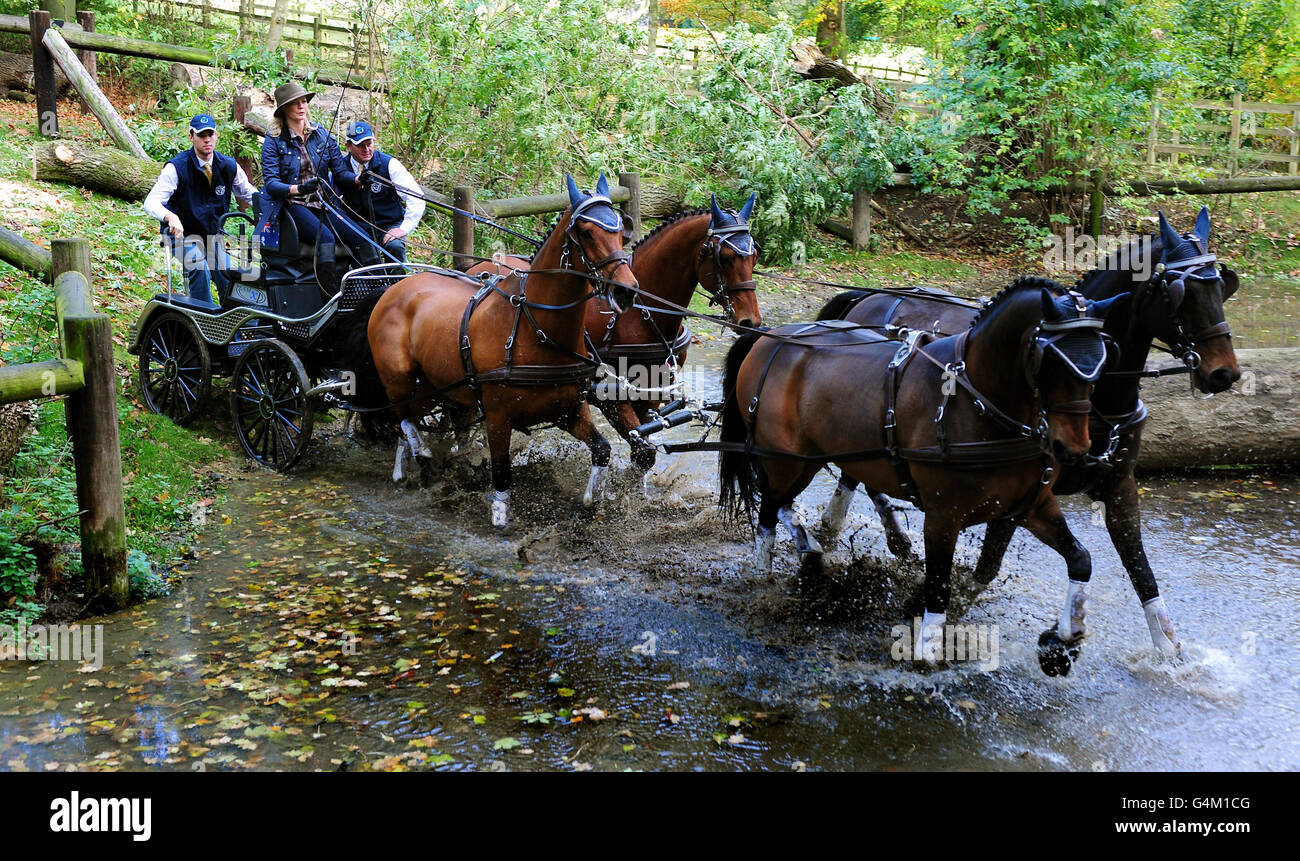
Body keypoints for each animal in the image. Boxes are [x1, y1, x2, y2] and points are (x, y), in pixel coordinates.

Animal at [346, 174, 638, 527]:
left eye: (620, 231)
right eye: (586, 232)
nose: (626, 290)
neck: (535, 329)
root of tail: (392, 288)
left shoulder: (569, 409)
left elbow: (602, 449)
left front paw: (589, 503)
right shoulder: (498, 417)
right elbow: (501, 473)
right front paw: (500, 518)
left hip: (432, 386)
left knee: (409, 419)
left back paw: (406, 469)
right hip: (398, 378)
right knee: (402, 418)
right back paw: (423, 457)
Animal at [471, 195, 762, 472]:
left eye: (754, 255)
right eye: (725, 257)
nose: (751, 320)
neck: (639, 315)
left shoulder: (651, 392)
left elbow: (643, 449)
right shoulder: (611, 394)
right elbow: (642, 449)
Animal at [719, 278, 1124, 673]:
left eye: (1103, 359)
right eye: (1049, 359)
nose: (1074, 448)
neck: (975, 402)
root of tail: (771, 337)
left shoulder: (1028, 506)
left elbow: (1078, 559)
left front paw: (1064, 640)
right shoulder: (944, 516)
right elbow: (939, 584)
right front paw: (927, 648)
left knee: (786, 502)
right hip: (787, 461)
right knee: (770, 510)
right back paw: (767, 573)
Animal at [814, 208, 1240, 659]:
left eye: (1221, 285)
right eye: (1181, 294)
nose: (1224, 373)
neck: (1097, 395)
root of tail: (868, 298)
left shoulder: (1118, 484)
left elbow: (1140, 568)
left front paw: (1169, 651)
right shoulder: (1023, 491)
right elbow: (987, 566)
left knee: (855, 473)